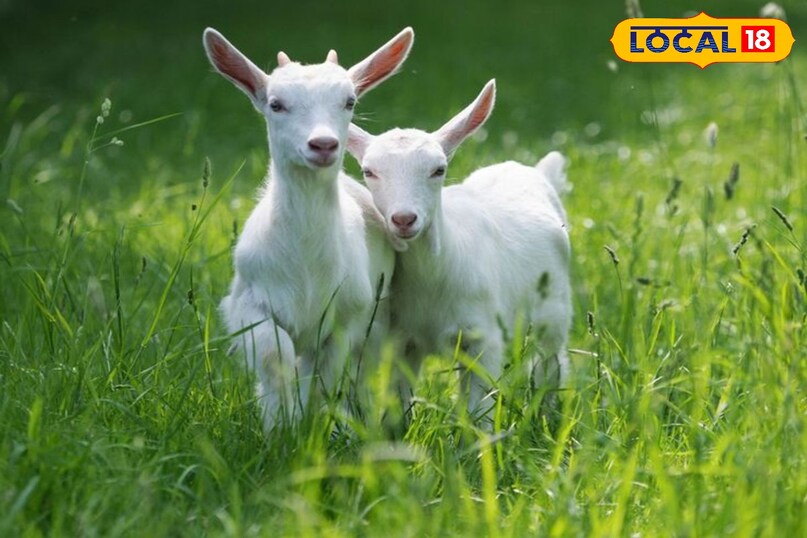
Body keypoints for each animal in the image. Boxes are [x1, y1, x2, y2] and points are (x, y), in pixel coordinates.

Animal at [203, 27, 414, 432]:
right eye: (275, 104)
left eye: (349, 101)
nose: (323, 144)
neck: (305, 268)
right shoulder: (248, 302)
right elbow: (276, 354)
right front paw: (278, 423)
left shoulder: (347, 317)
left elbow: (322, 374)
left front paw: (304, 423)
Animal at [347, 80, 572, 424]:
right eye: (368, 171)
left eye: (439, 169)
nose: (404, 219)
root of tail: (537, 172)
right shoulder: (402, 339)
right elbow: (400, 400)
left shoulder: (483, 338)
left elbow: (479, 411)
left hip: (555, 313)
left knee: (550, 365)